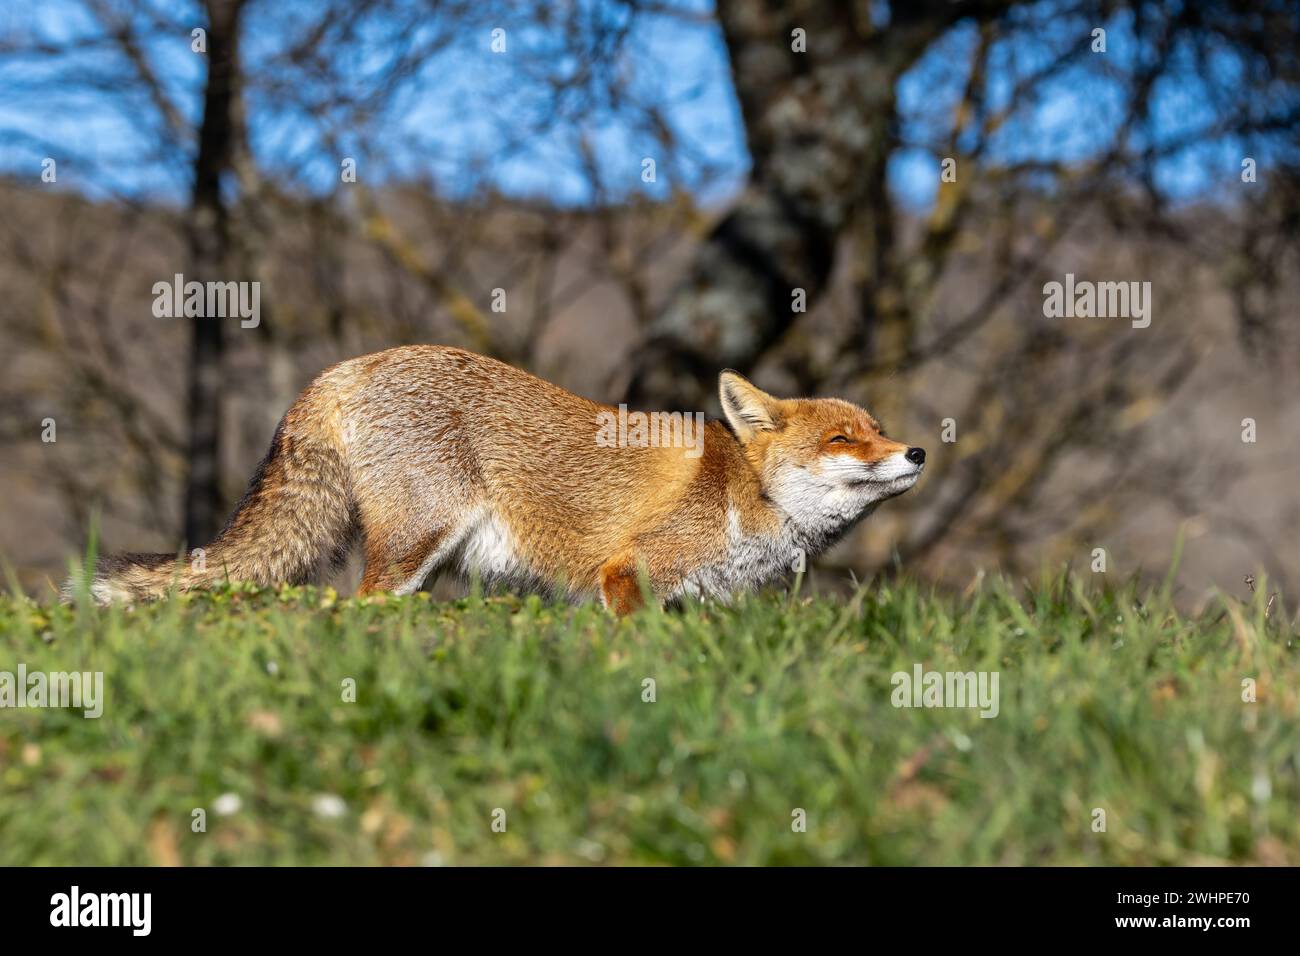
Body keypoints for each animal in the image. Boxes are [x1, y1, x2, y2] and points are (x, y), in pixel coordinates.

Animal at [71, 346, 925, 613]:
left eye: (879, 428)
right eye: (843, 439)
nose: (918, 451)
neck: (747, 500)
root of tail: (351, 365)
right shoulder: (630, 571)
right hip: (417, 540)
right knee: (362, 605)